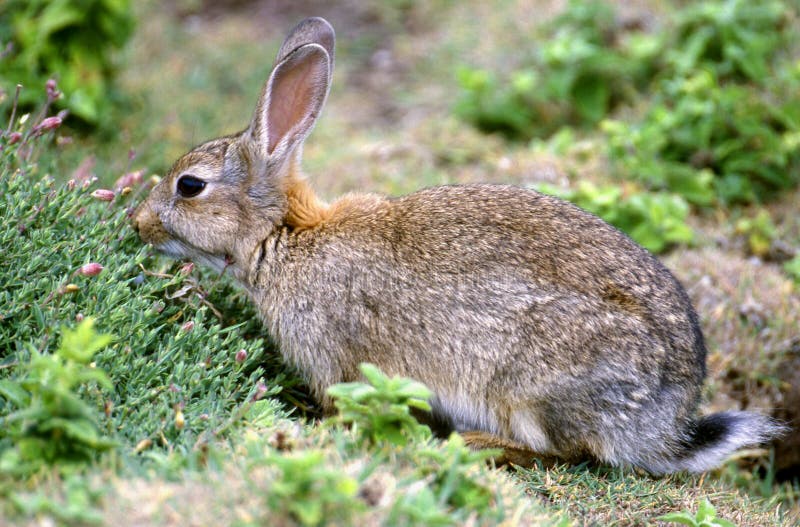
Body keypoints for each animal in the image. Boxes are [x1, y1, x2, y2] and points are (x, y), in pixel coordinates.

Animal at [132, 16, 784, 474]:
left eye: (190, 187)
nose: (139, 223)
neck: (285, 236)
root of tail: (665, 422)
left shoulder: (333, 358)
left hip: (532, 388)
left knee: (569, 452)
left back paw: (474, 443)